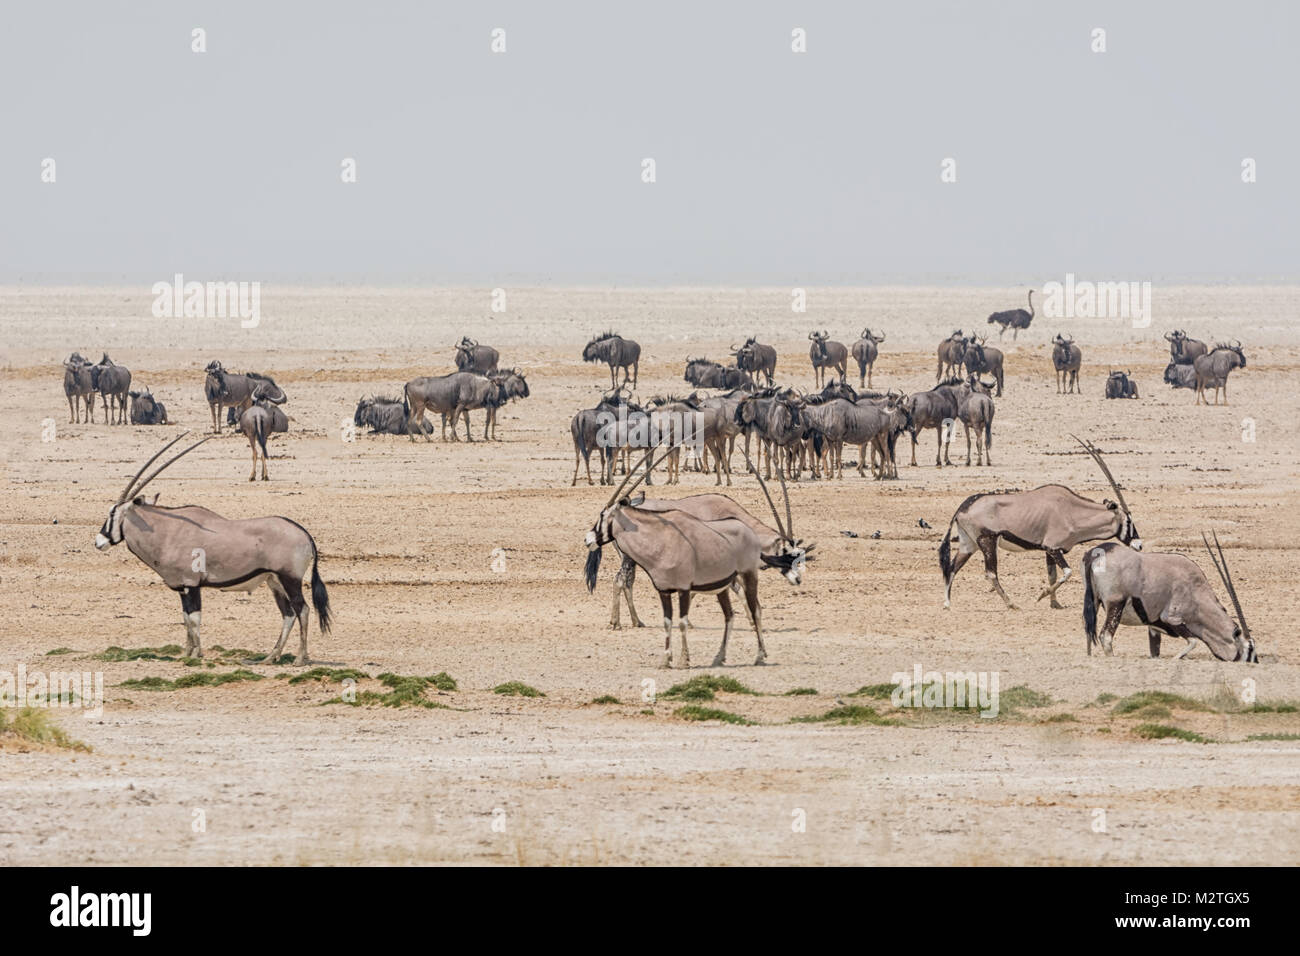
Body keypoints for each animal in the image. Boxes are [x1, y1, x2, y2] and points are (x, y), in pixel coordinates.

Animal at [94, 433, 333, 662]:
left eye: (112, 512)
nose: (99, 542)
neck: (166, 531)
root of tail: (304, 534)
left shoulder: (191, 584)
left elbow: (194, 619)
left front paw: (196, 655)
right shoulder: (182, 588)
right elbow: (186, 619)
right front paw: (188, 653)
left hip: (289, 579)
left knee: (303, 610)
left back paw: (300, 658)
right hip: (274, 581)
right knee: (288, 614)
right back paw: (271, 657)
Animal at [584, 447, 811, 667]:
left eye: (799, 554)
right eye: (786, 553)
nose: (798, 579)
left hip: (631, 560)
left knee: (626, 582)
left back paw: (634, 620)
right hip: (629, 559)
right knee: (620, 580)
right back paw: (618, 622)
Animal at [938, 436, 1142, 609]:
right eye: (1128, 520)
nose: (1139, 545)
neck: (1072, 511)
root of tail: (963, 507)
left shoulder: (1049, 551)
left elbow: (1052, 575)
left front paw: (1055, 603)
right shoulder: (1053, 548)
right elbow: (1067, 572)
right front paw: (1042, 595)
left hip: (968, 544)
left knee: (952, 567)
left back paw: (947, 603)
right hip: (987, 541)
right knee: (991, 573)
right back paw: (1011, 604)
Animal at [1083, 532, 1257, 662]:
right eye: (1250, 648)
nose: (1254, 662)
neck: (1197, 593)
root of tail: (1098, 552)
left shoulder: (1153, 627)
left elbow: (1155, 651)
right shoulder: (1172, 618)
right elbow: (1193, 641)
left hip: (1094, 603)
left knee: (1089, 635)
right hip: (1116, 604)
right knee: (1106, 636)